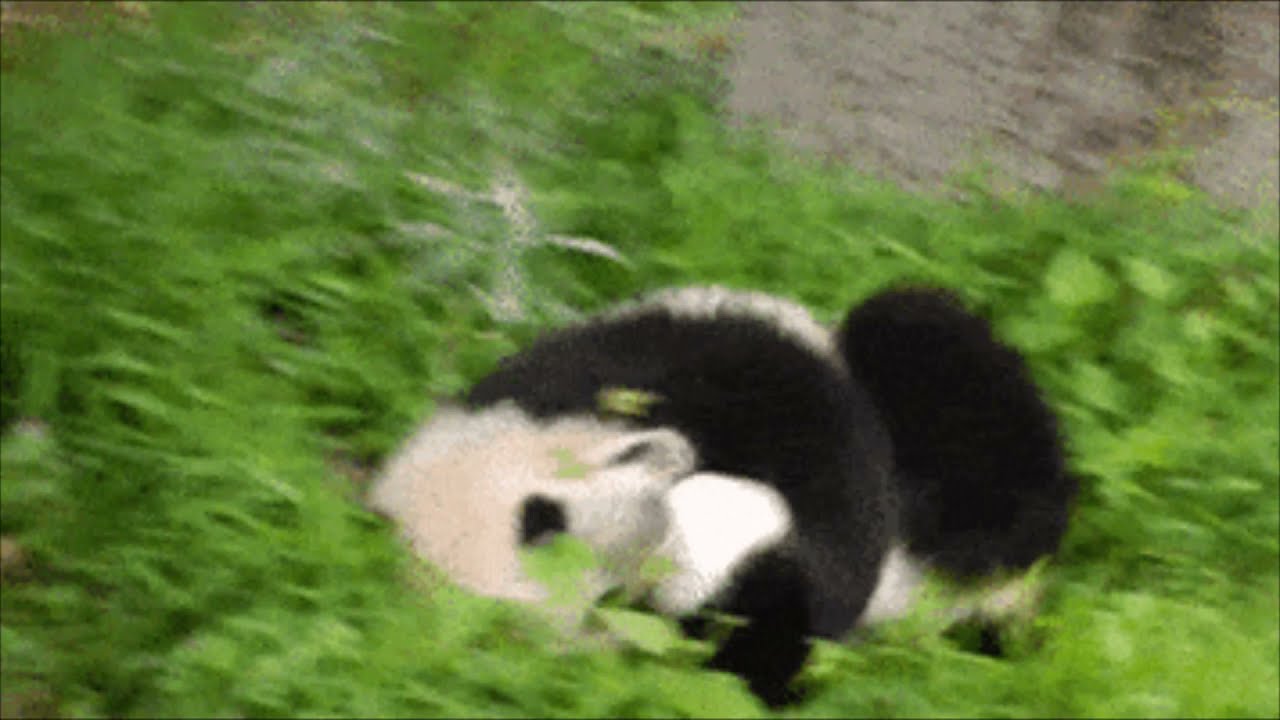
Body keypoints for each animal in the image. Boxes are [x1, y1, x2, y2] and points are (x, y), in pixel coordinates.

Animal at [367, 285, 1075, 706]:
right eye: (610, 601)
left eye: (543, 518)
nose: (652, 522)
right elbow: (773, 642)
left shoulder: (625, 360)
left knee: (923, 344)